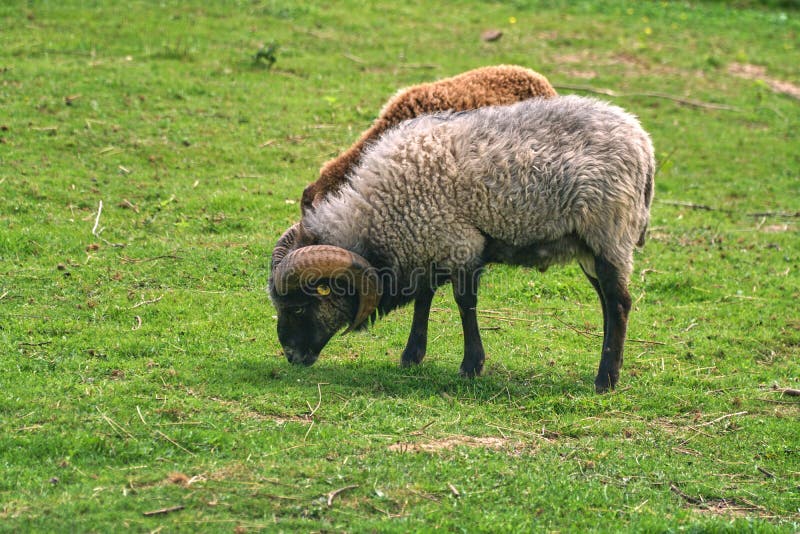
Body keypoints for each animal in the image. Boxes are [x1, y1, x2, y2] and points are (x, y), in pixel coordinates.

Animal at [270, 95, 655, 393]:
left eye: (300, 307)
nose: (291, 356)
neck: (379, 220)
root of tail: (642, 141)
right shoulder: (428, 243)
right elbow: (424, 299)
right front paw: (411, 356)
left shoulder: (461, 244)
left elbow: (464, 303)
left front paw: (471, 365)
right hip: (590, 247)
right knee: (608, 303)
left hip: (609, 235)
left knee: (619, 303)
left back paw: (605, 380)